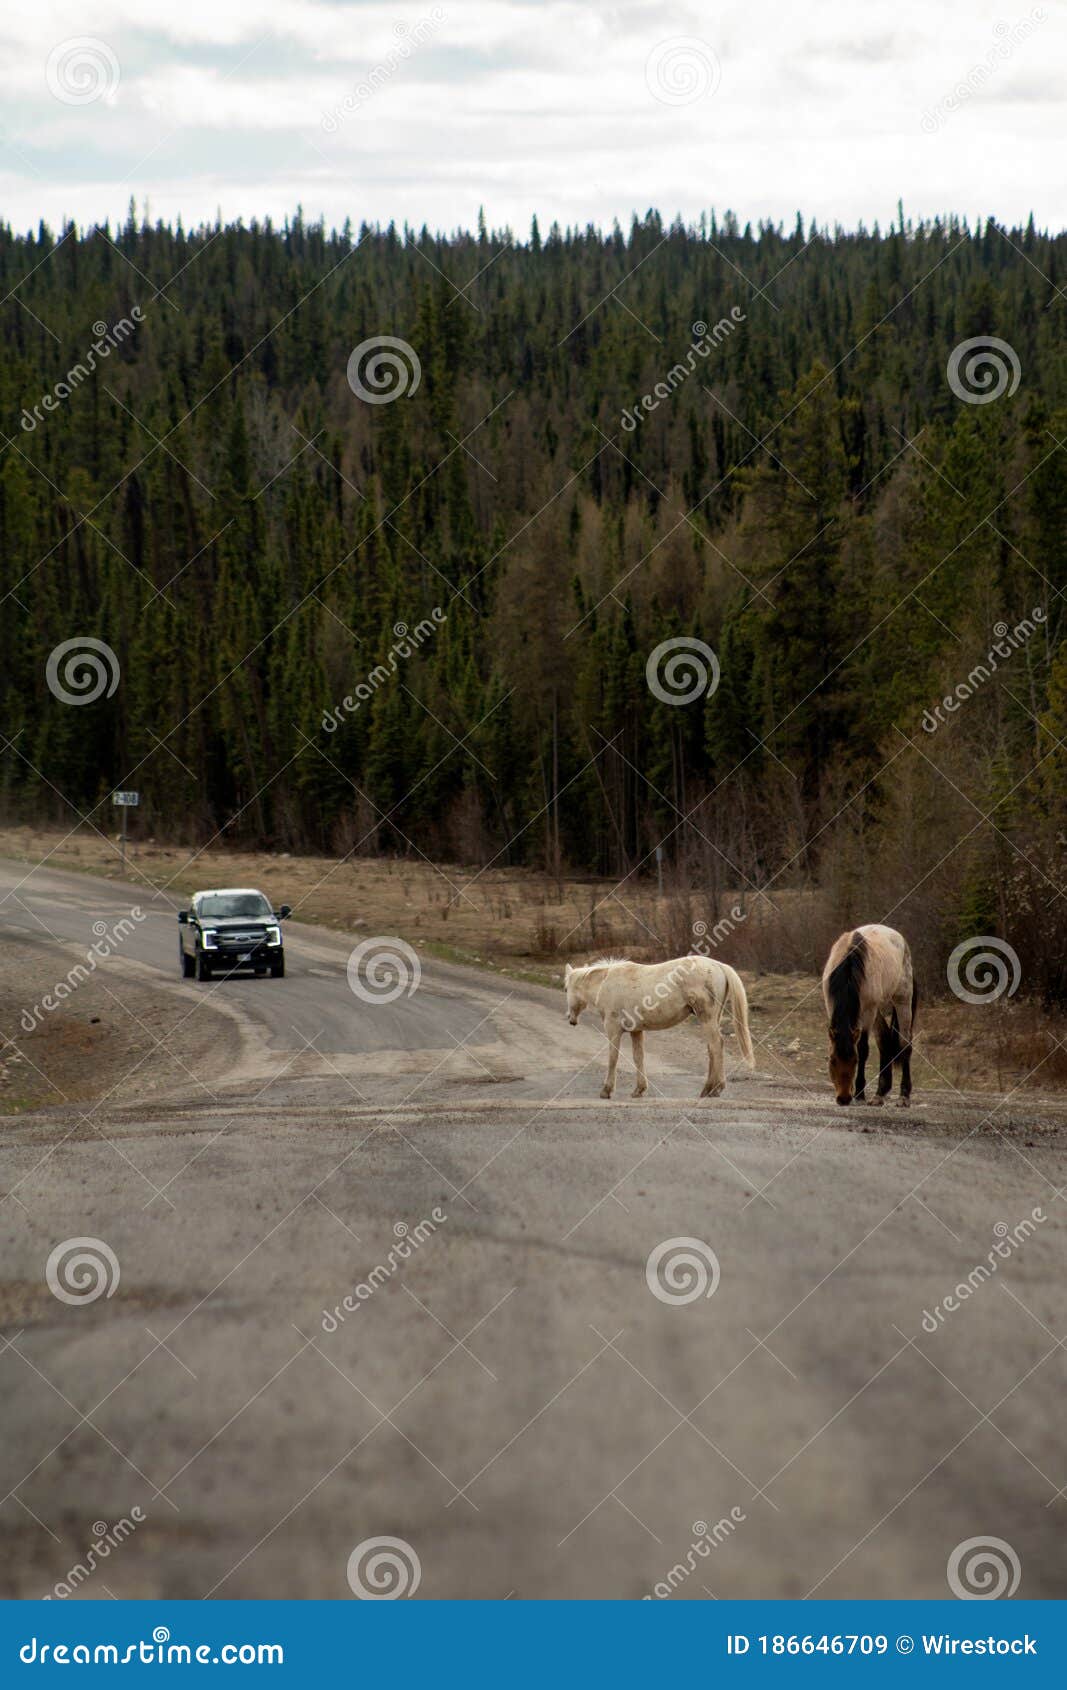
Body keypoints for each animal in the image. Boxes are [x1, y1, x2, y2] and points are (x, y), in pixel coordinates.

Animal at [563, 955, 755, 1099]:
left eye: (566, 989)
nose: (570, 1019)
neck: (606, 983)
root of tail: (718, 965)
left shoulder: (613, 1029)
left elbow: (613, 1058)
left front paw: (606, 1090)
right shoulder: (636, 1031)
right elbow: (638, 1057)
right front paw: (639, 1090)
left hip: (707, 1018)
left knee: (716, 1046)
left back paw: (714, 1088)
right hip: (713, 1019)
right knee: (711, 1049)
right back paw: (707, 1089)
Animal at [821, 924, 917, 1107]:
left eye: (855, 1060)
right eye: (832, 1060)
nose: (843, 1098)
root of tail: (901, 941)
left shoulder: (868, 1012)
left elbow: (863, 1048)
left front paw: (859, 1093)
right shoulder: (831, 1008)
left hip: (902, 1000)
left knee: (905, 1044)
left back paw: (904, 1096)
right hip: (878, 1010)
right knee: (885, 1042)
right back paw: (880, 1094)